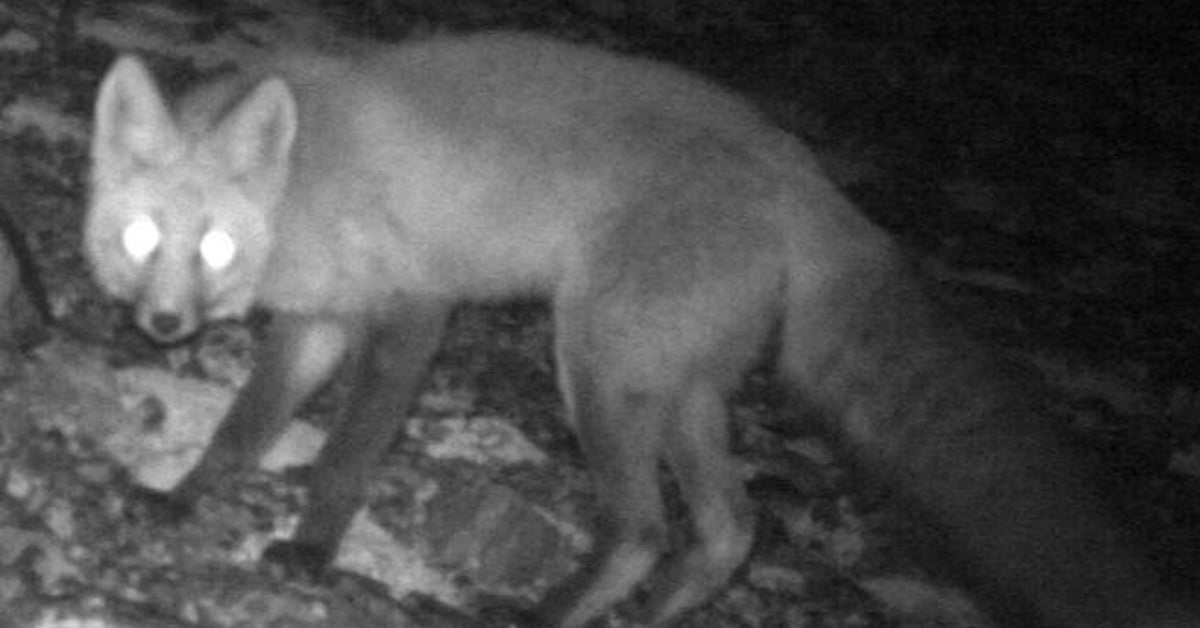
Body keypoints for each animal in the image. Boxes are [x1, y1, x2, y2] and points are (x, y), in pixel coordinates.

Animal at [85, 32, 1198, 628]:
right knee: (727, 530)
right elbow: (243, 432)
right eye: (144, 237)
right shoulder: (317, 324)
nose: (165, 323)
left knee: (642, 529)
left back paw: (544, 614)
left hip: (600, 368)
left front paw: (311, 554)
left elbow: (343, 459)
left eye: (213, 245)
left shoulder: (413, 310)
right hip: (679, 388)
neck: (302, 188)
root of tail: (796, 166)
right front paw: (179, 499)